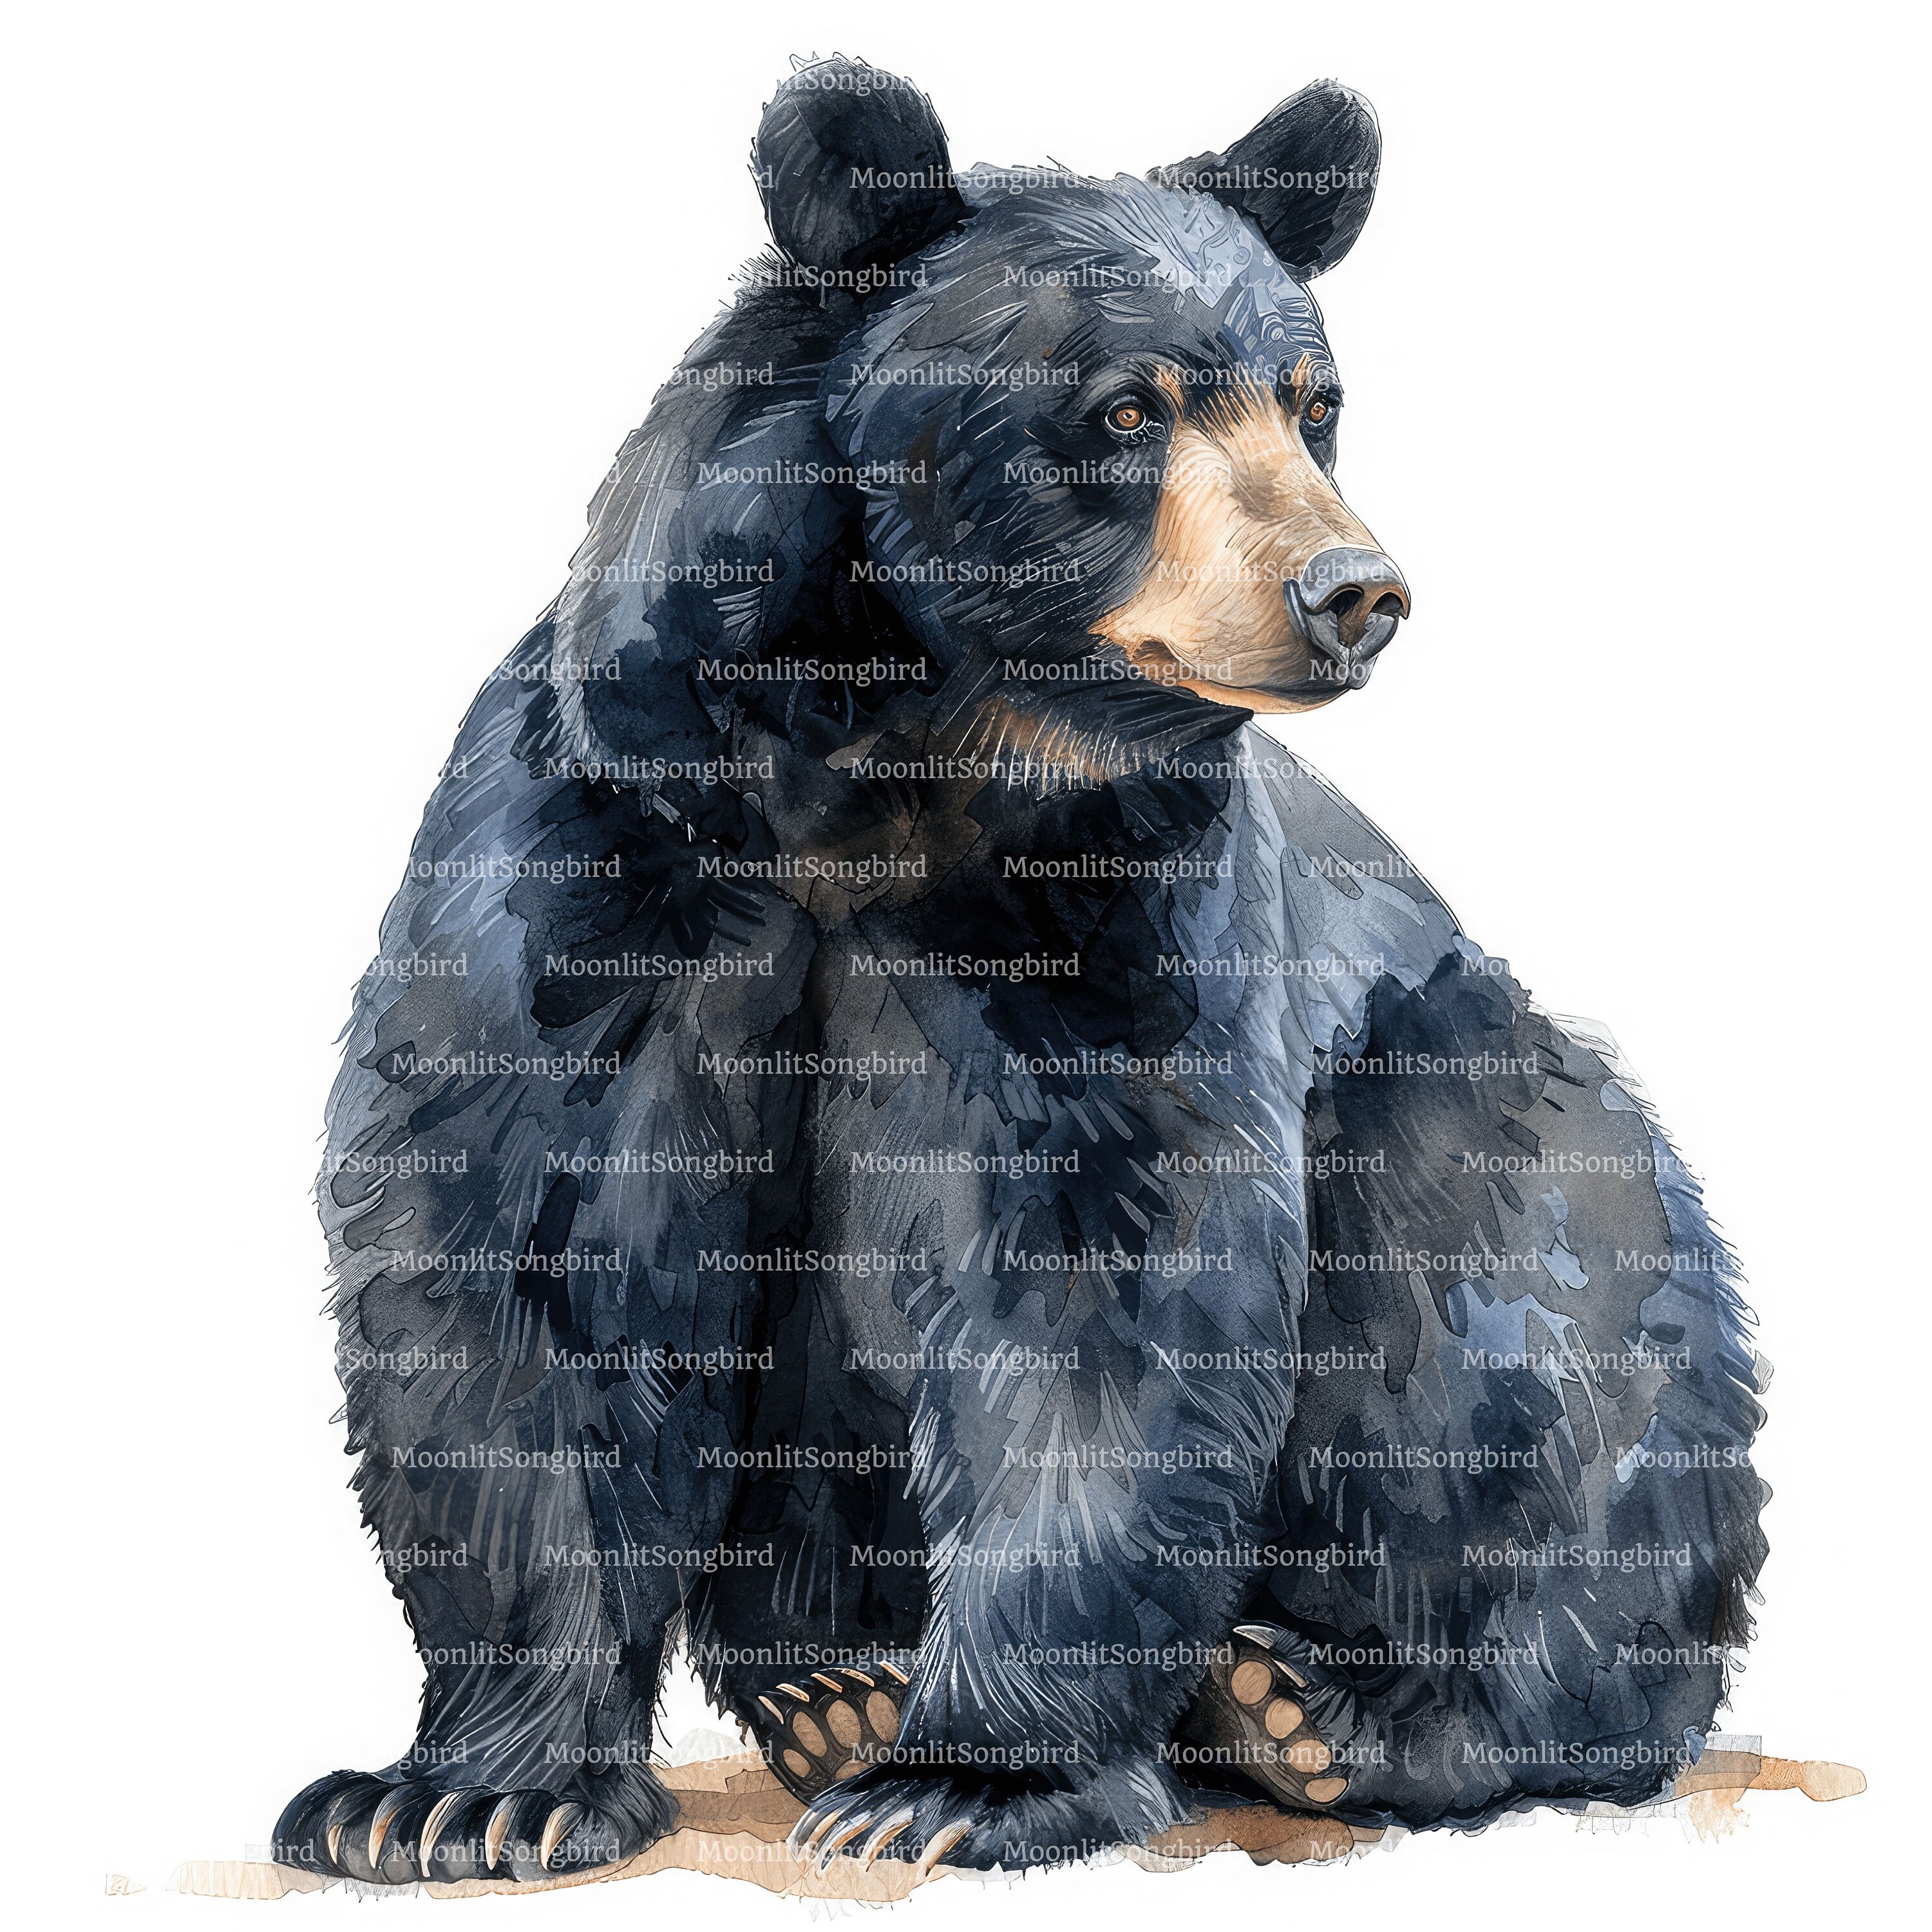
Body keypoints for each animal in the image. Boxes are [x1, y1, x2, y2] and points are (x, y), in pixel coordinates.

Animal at [272, 58, 1769, 1885]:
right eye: (1126, 411)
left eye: (1312, 402)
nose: (1354, 591)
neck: (893, 767)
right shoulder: (602, 854)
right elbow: (522, 1247)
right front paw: (463, 1789)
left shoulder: (1124, 912)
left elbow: (1103, 1277)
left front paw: (972, 1778)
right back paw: (840, 1685)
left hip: (1497, 1113)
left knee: (1527, 1332)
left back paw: (1336, 1708)